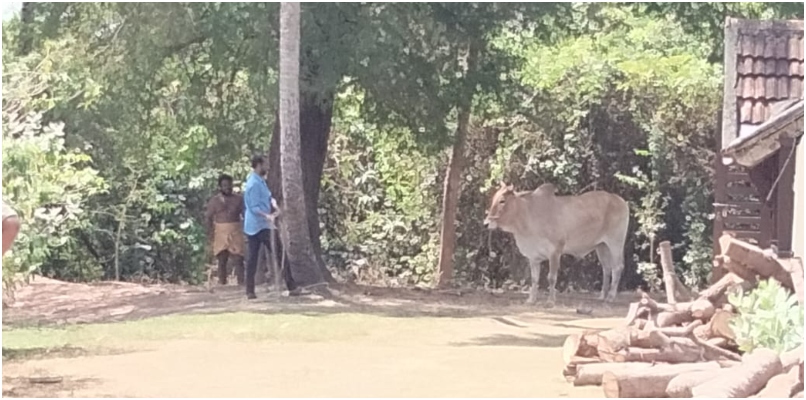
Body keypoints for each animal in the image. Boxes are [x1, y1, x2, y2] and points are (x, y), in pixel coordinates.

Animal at [483, 183, 629, 306]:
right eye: (493, 199)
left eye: (502, 200)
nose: (486, 223)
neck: (528, 214)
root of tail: (620, 200)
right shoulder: (533, 257)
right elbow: (534, 279)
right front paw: (531, 299)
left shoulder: (555, 251)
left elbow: (551, 277)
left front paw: (550, 301)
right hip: (601, 246)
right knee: (606, 268)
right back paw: (602, 296)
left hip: (616, 243)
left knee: (617, 267)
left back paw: (610, 297)